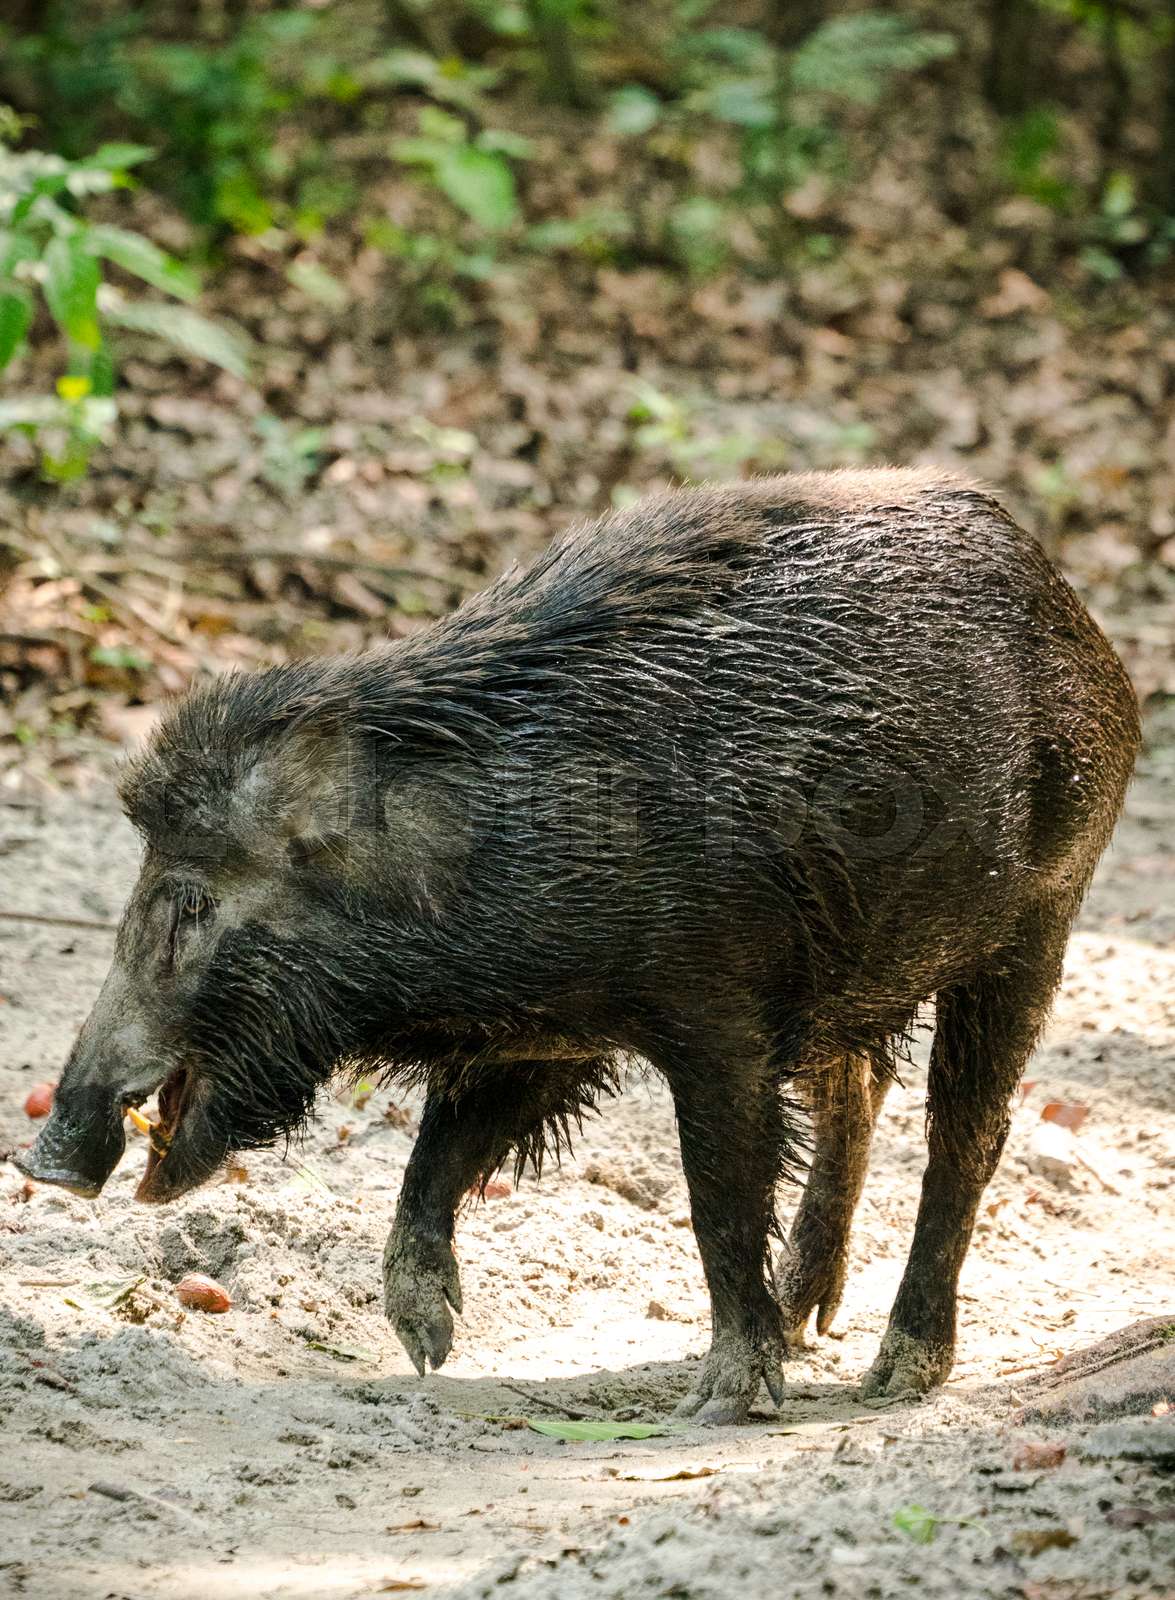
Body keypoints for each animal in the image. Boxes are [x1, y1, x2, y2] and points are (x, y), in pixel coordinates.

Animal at [15, 470, 1140, 1422]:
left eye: (191, 900)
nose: (45, 1156)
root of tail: (1071, 610)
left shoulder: (715, 1019)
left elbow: (717, 1194)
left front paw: (721, 1400)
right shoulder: (547, 1030)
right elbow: (444, 1146)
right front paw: (425, 1344)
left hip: (1038, 917)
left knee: (967, 1132)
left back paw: (894, 1372)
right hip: (857, 967)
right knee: (856, 1089)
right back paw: (807, 1319)